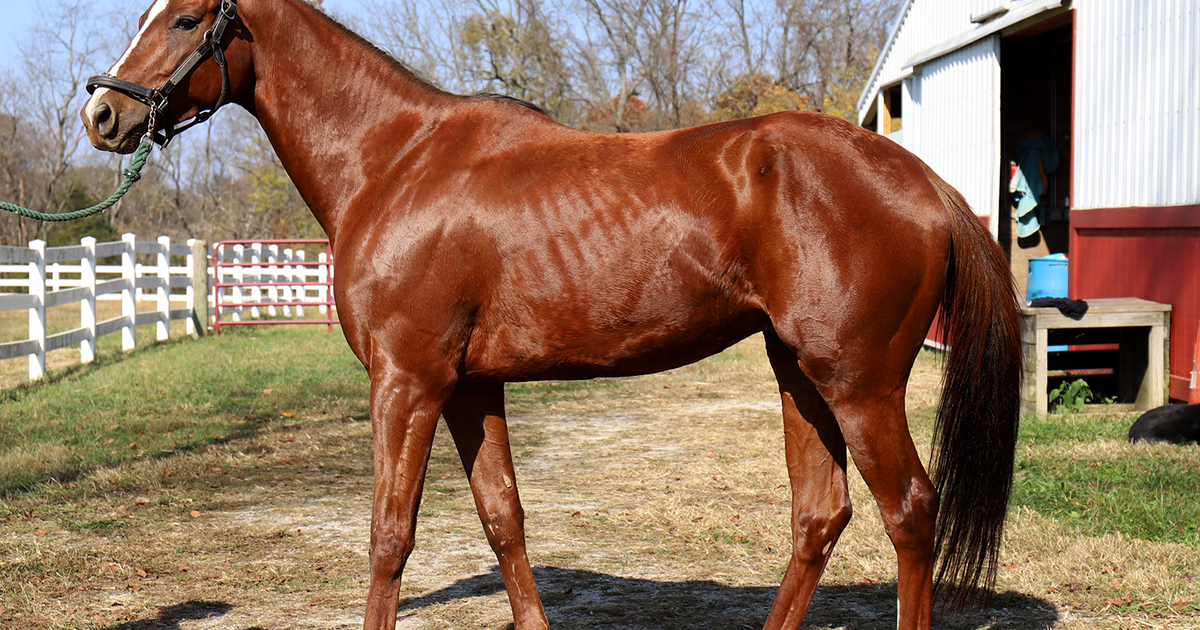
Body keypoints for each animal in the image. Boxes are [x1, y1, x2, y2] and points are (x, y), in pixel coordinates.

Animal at [80, 1, 1022, 628]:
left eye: (185, 17)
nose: (102, 112)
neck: (396, 161)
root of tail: (922, 180)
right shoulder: (469, 388)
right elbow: (504, 522)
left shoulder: (406, 383)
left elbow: (390, 535)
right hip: (800, 375)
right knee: (820, 516)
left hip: (859, 385)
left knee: (910, 513)